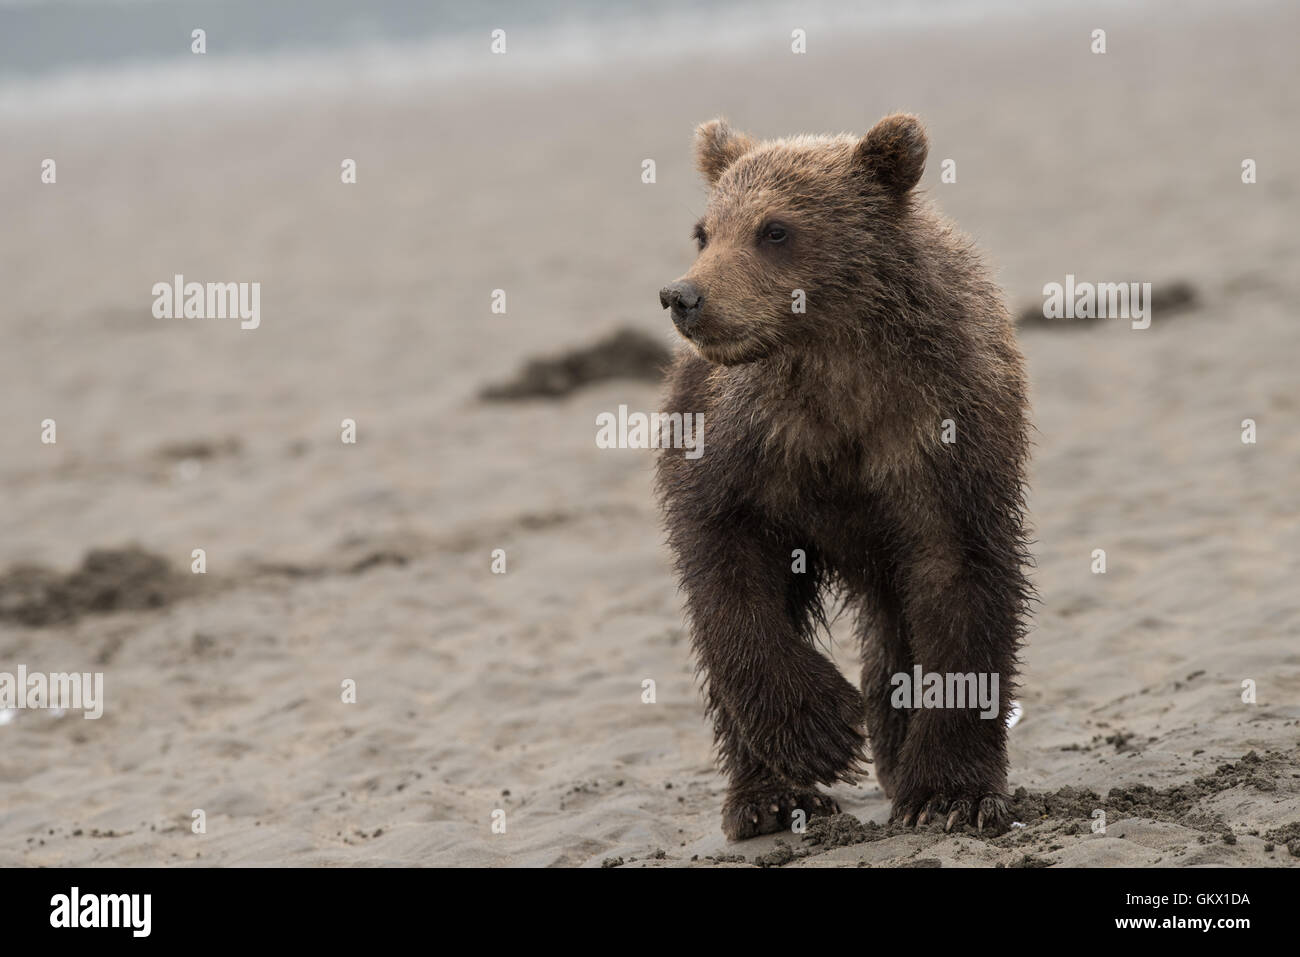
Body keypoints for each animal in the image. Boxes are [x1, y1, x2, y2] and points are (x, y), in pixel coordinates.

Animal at [655, 114, 1032, 841]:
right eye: (704, 230)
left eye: (774, 229)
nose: (684, 296)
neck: (837, 367)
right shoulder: (747, 443)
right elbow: (727, 571)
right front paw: (820, 730)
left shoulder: (942, 439)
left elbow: (962, 584)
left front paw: (950, 793)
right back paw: (769, 797)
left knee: (896, 620)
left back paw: (893, 748)